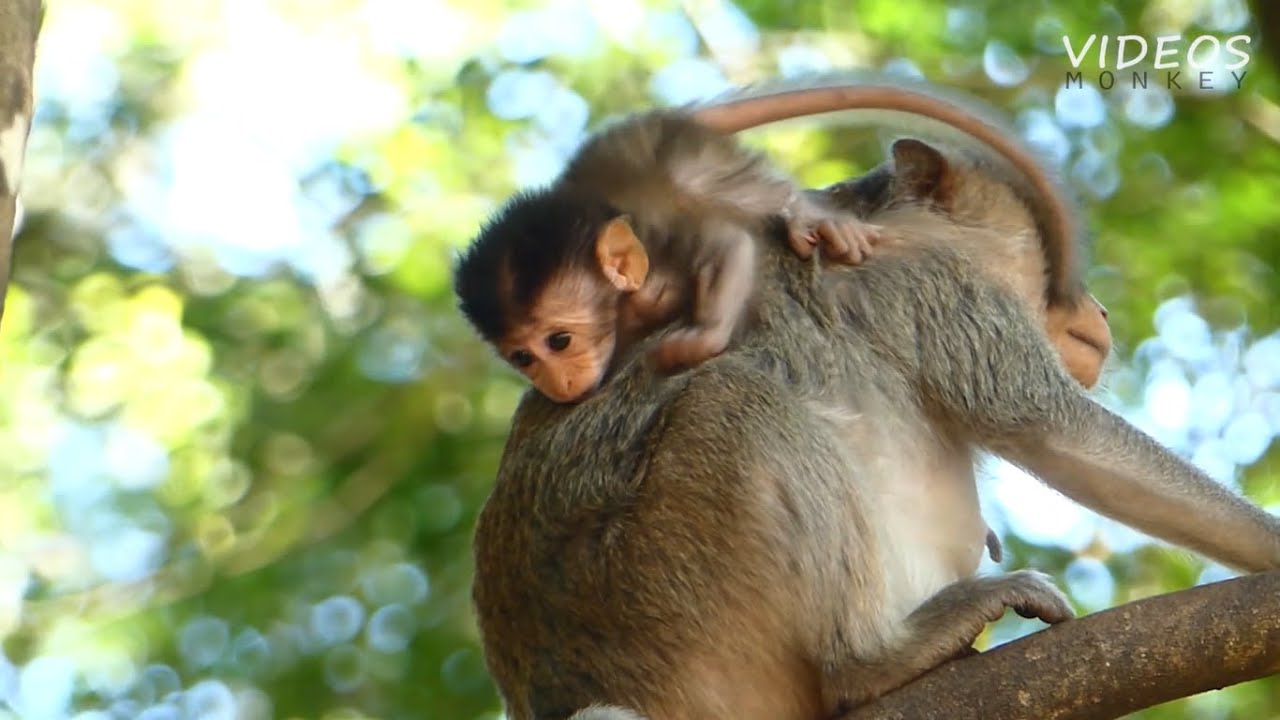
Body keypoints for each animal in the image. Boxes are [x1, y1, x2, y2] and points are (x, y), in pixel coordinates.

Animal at [455, 77, 1096, 405]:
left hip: (688, 155)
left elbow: (728, 247)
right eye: (522, 357)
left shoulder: (658, 266)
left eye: (559, 341)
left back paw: (808, 215)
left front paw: (695, 343)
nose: (555, 383)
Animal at [471, 135, 1280, 720]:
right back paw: (868, 662)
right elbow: (1048, 430)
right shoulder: (931, 287)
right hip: (664, 602)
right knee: (736, 402)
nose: (1100, 312)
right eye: (1053, 257)